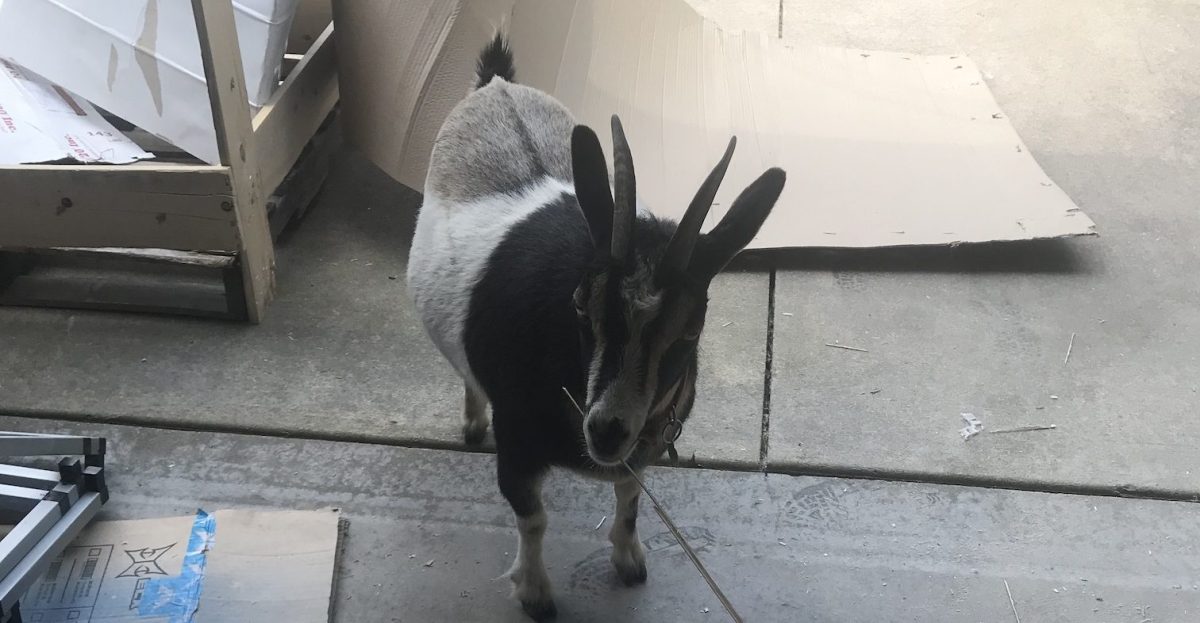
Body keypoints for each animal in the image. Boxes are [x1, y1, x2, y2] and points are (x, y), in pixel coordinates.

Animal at [407, 33, 786, 620]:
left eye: (691, 330)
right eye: (581, 306)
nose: (606, 430)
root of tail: (497, 85)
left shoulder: (639, 453)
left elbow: (629, 499)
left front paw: (629, 561)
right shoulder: (517, 444)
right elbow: (533, 518)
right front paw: (535, 593)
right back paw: (472, 422)